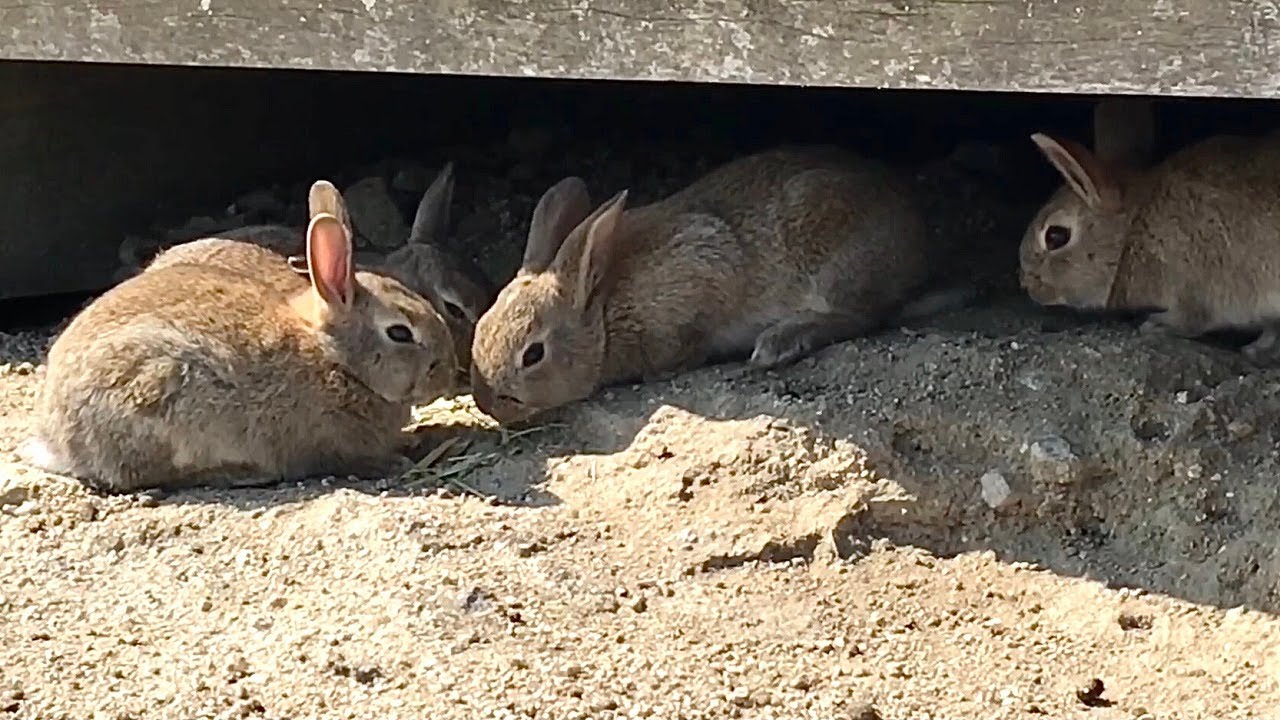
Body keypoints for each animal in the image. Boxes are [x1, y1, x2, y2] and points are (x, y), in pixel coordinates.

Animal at [18, 200, 458, 492]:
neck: (336, 359)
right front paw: (394, 461)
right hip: (157, 389)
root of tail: (56, 438)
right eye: (400, 333)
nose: (449, 371)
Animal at [469, 145, 956, 426]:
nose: (488, 403)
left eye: (533, 354)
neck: (601, 308)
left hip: (834, 259)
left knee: (859, 316)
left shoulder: (701, 270)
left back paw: (780, 343)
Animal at [1018, 127, 1280, 364]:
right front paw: (1256, 350)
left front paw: (1155, 325)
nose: (1026, 285)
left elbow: (1191, 321)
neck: (1133, 228)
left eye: (1056, 236)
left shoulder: (1195, 286)